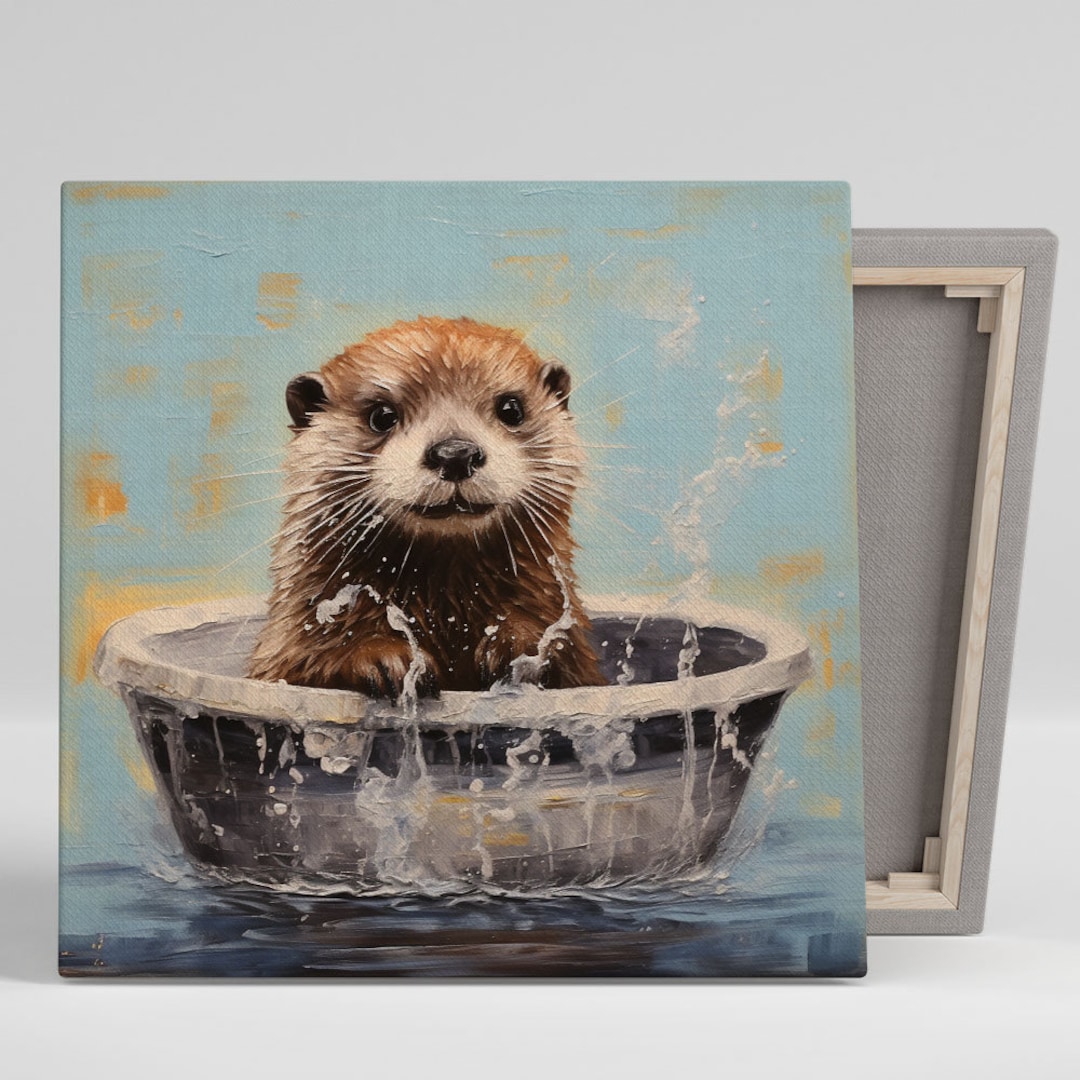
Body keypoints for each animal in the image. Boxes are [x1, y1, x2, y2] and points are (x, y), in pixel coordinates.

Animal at [248, 316, 606, 700]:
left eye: (511, 409)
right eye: (382, 415)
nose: (455, 453)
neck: (446, 606)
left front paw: (520, 643)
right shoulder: (288, 643)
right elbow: (310, 657)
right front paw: (383, 656)